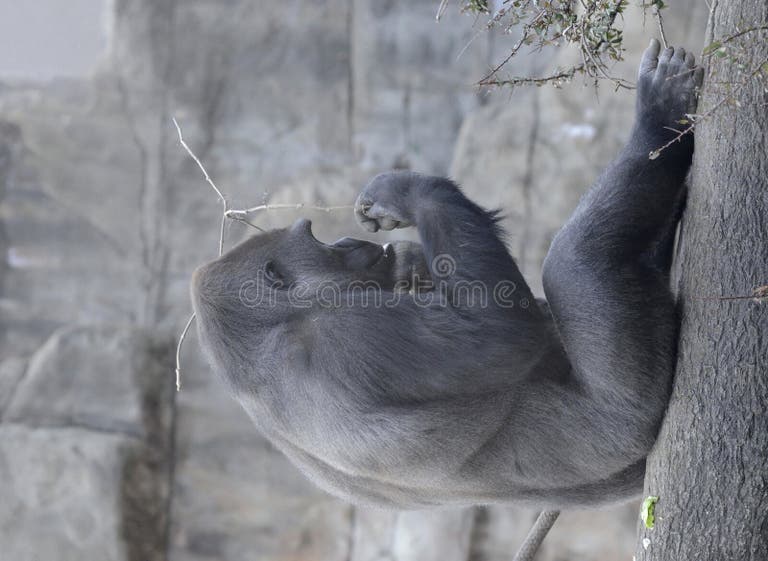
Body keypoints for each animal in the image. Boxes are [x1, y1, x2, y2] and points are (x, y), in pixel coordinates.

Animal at [191, 39, 702, 556]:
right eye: (318, 240)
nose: (349, 244)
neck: (271, 333)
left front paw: (407, 252)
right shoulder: (344, 331)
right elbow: (504, 334)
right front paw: (406, 190)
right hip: (636, 420)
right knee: (570, 261)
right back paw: (657, 124)